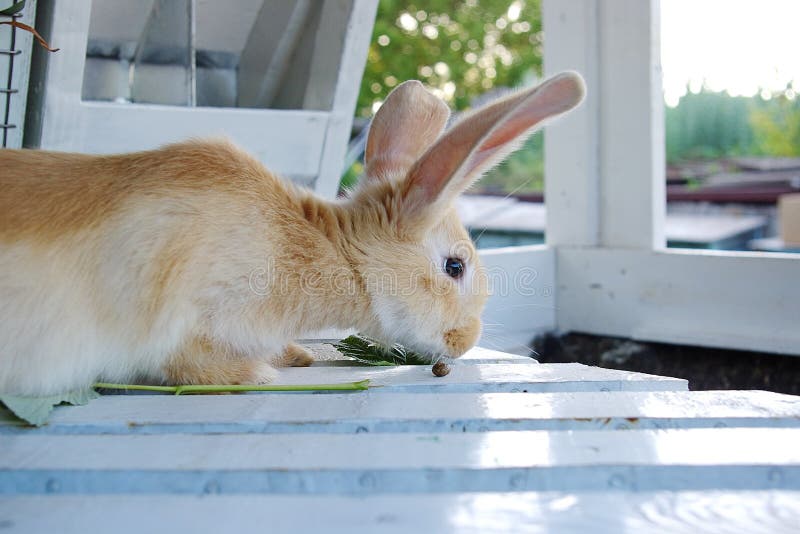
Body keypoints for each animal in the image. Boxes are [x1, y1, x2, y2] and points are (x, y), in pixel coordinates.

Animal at [0, 71, 585, 396]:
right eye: (455, 267)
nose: (466, 341)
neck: (327, 252)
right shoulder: (182, 306)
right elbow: (182, 360)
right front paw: (252, 375)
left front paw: (295, 357)